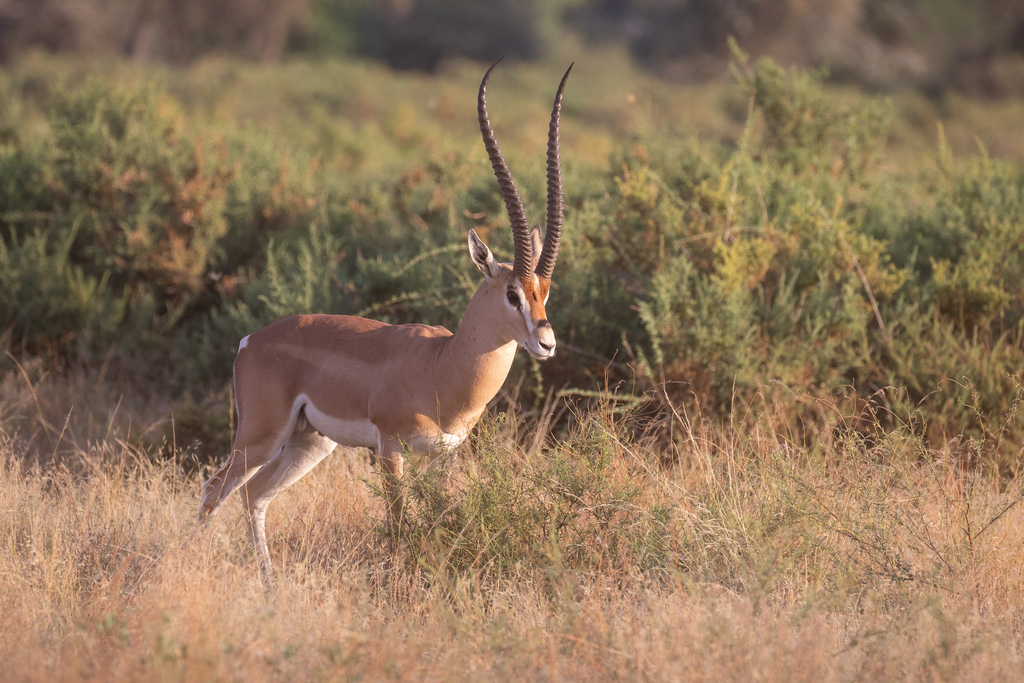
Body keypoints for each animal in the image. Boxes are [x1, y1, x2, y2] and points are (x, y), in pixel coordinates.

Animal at [198, 61, 573, 581]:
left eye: (545, 292)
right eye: (512, 294)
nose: (547, 342)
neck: (442, 366)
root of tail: (250, 340)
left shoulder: (444, 457)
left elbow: (440, 516)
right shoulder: (391, 450)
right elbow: (398, 523)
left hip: (308, 443)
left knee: (254, 494)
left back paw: (270, 583)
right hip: (261, 436)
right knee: (214, 490)